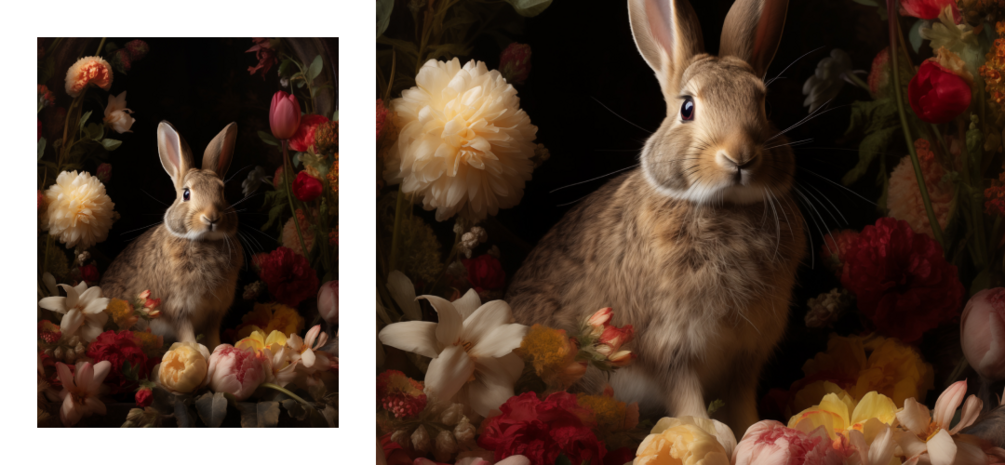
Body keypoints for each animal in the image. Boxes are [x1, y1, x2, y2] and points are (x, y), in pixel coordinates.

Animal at [100, 121, 243, 350]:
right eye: (186, 194)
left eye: (223, 193)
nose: (211, 217)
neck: (204, 242)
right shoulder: (178, 308)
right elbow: (186, 333)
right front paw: (196, 350)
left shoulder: (214, 313)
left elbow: (213, 336)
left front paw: (220, 349)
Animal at [506, 0, 804, 437]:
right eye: (687, 108)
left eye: (765, 106)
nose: (740, 156)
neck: (725, 208)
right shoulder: (669, 345)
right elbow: (687, 398)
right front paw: (706, 434)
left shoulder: (746, 356)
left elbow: (742, 405)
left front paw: (757, 430)